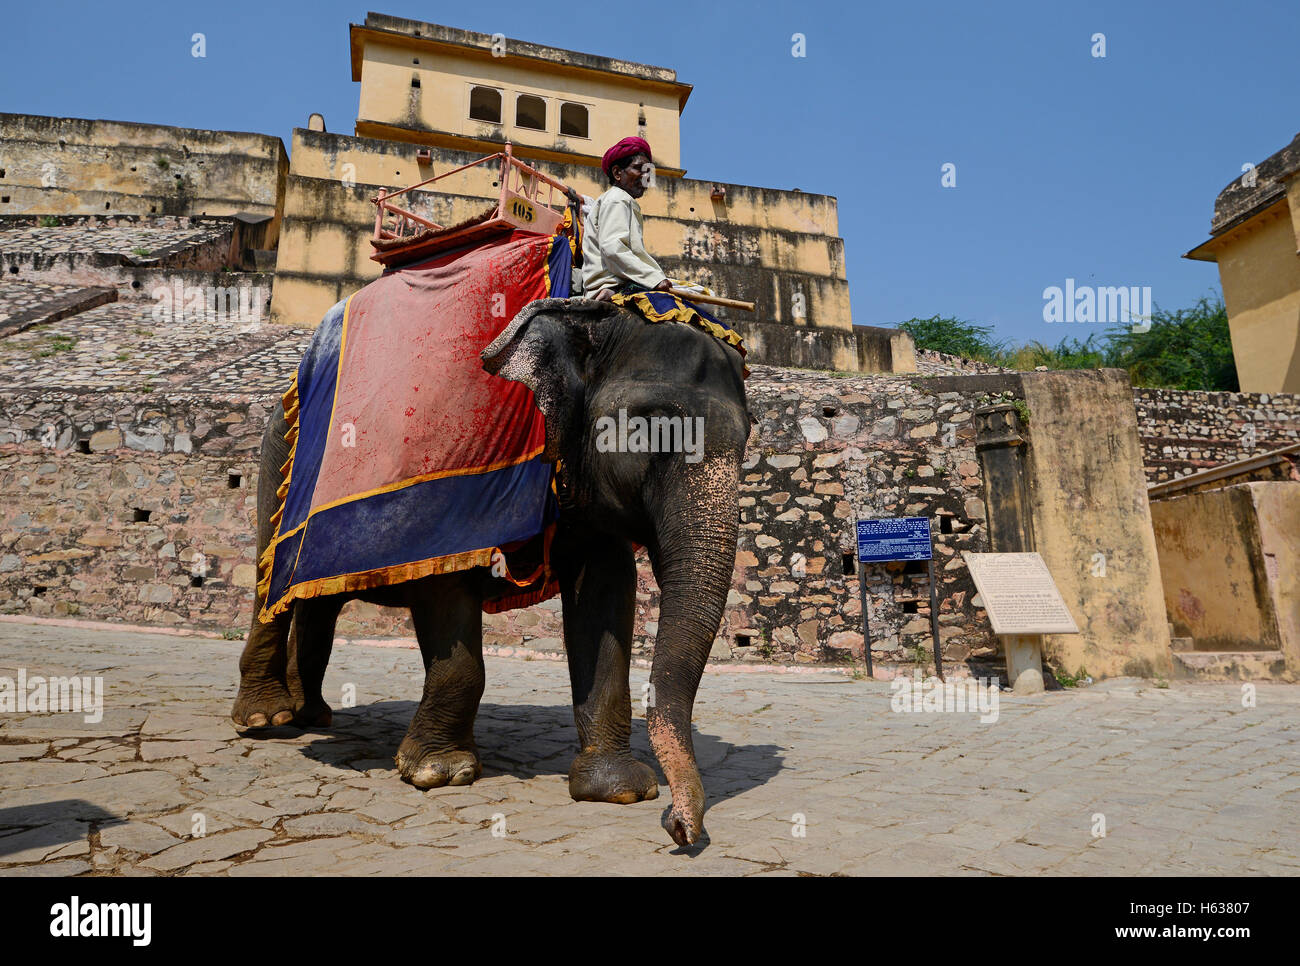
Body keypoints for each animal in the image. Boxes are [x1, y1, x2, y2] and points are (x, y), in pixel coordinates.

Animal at [232, 296, 749, 846]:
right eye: (651, 425)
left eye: (749, 437)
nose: (678, 827)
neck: (587, 318)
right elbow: (447, 592)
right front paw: (437, 772)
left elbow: (604, 590)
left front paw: (619, 789)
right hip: (278, 458)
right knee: (271, 584)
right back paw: (265, 716)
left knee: (318, 602)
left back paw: (312, 715)